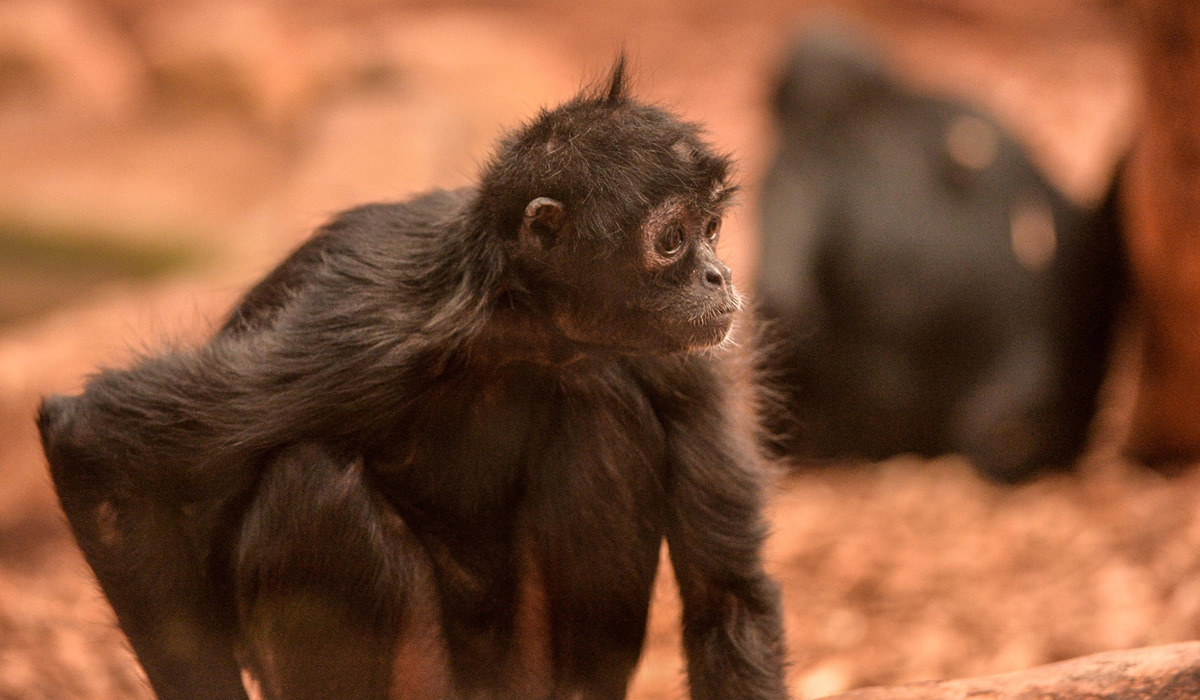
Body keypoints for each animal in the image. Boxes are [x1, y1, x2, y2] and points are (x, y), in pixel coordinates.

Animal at [36, 61, 789, 700]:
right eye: (672, 240)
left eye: (713, 229)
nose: (719, 277)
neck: (526, 331)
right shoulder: (366, 328)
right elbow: (89, 438)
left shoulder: (685, 355)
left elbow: (728, 596)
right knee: (314, 484)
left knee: (601, 405)